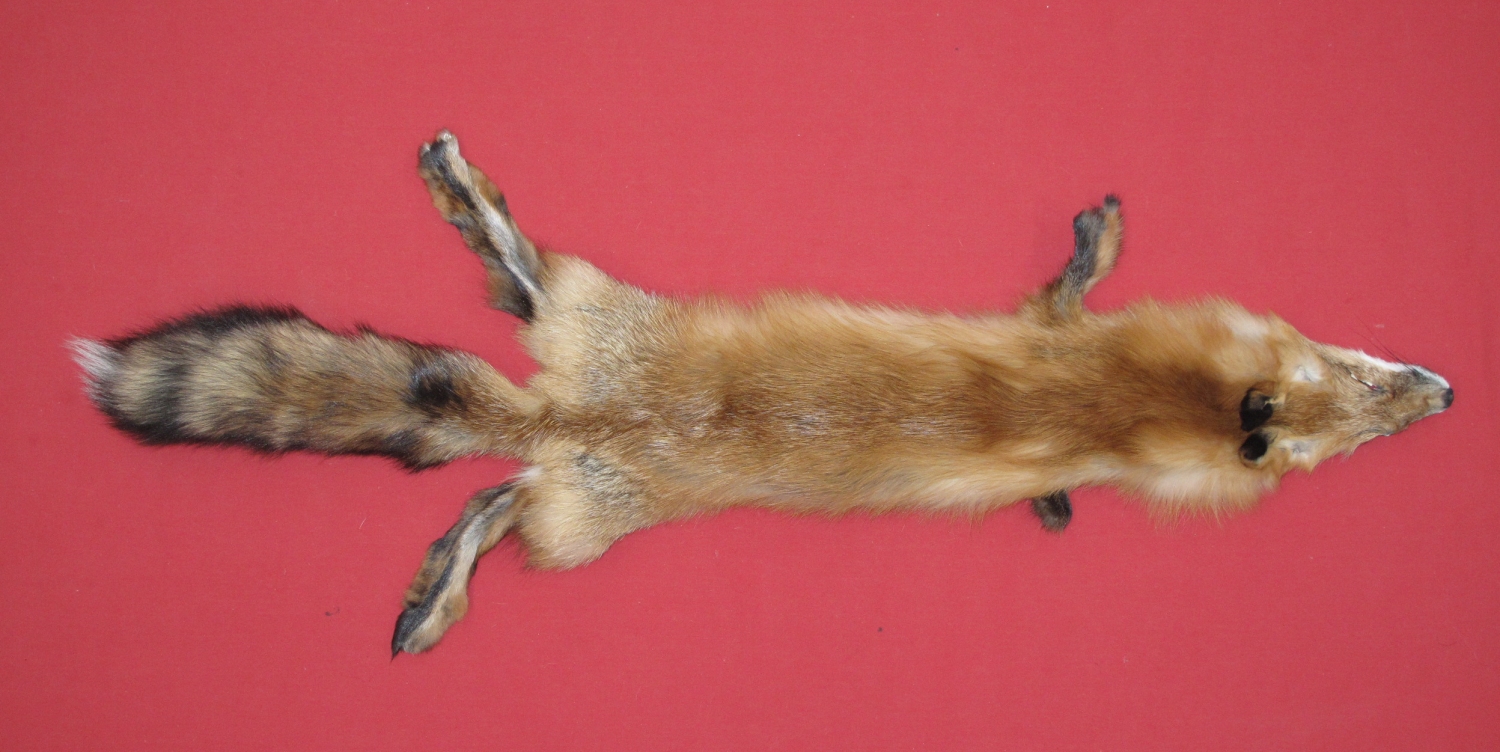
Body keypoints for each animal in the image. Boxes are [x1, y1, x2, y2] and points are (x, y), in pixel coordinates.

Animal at [72, 131, 1454, 655]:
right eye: (1356, 380)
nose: (1440, 386)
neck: (1101, 402)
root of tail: (565, 417)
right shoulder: (1049, 331)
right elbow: (1074, 279)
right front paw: (1101, 235)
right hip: (585, 462)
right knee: (494, 453)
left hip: (573, 427)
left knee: (493, 425)